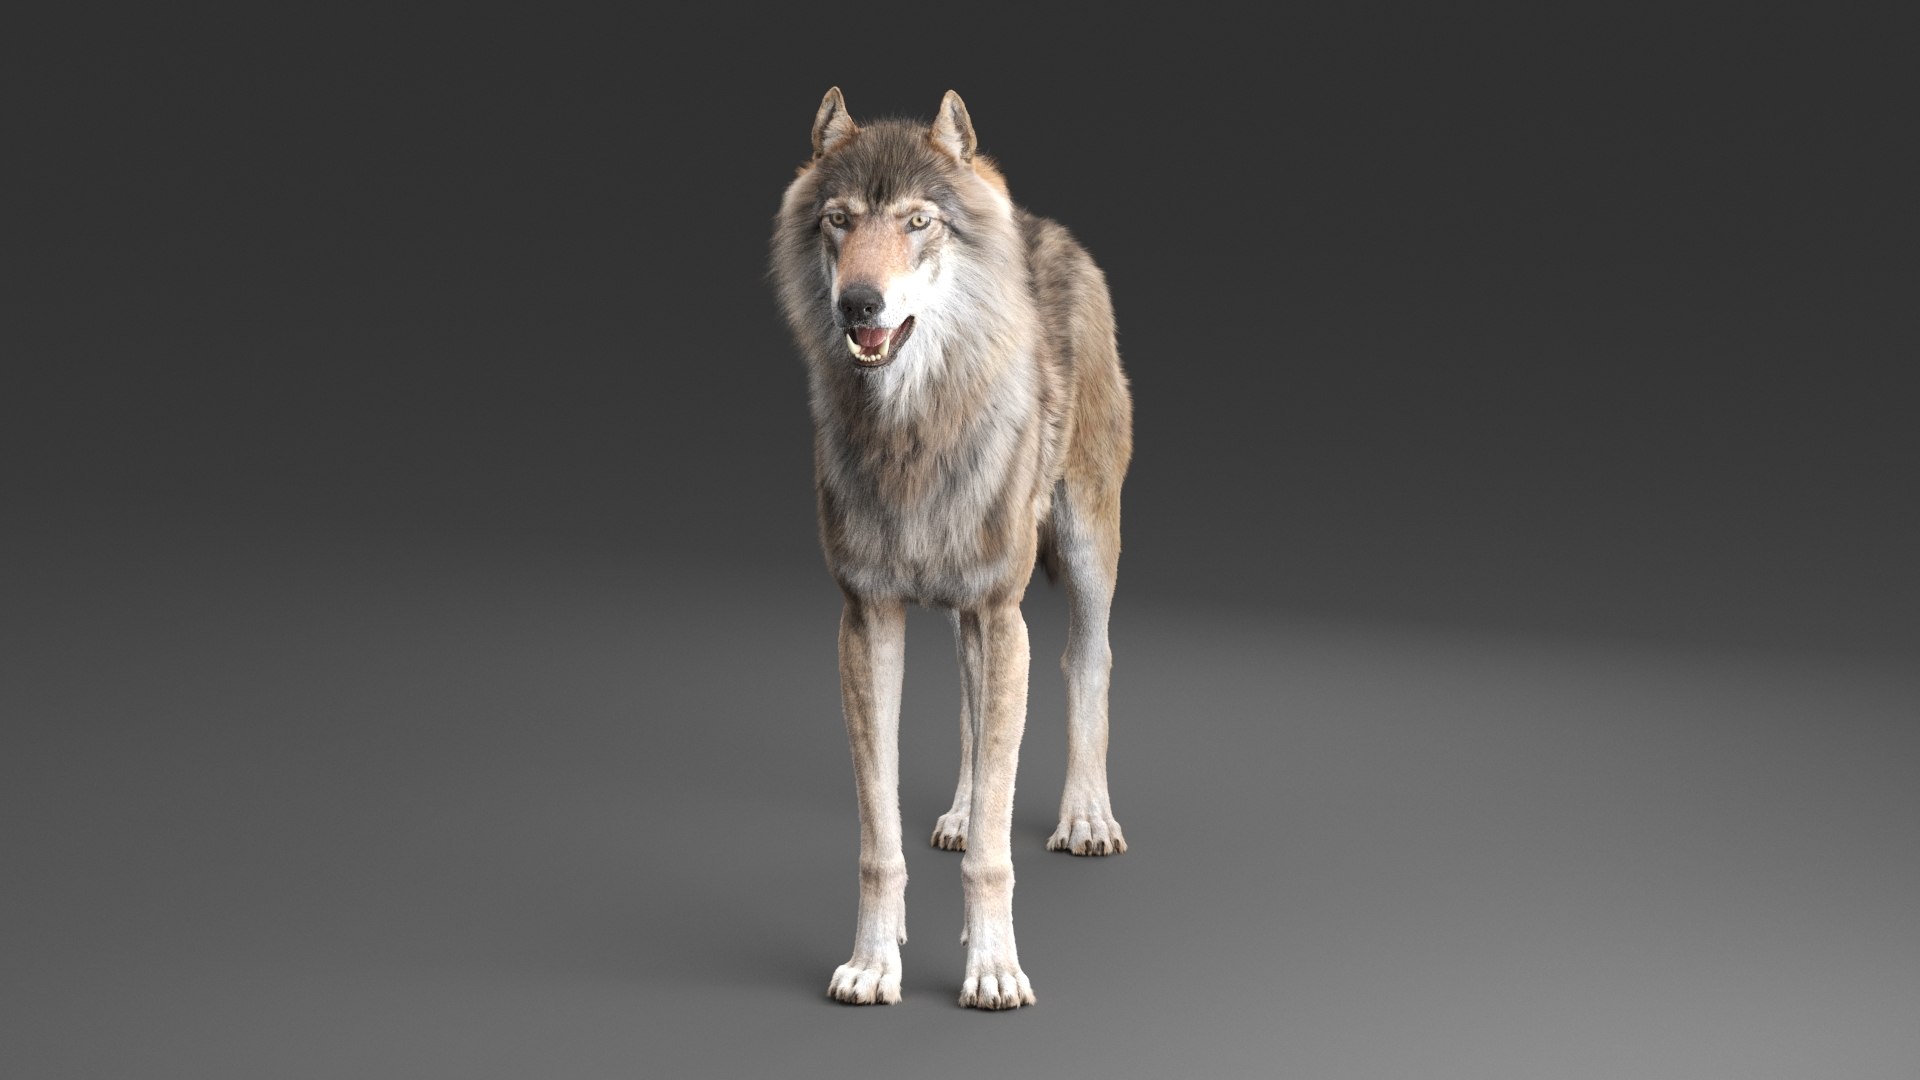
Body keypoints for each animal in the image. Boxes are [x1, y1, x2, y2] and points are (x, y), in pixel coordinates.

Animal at [770, 87, 1133, 1010]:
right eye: (839, 219)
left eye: (917, 221)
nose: (859, 304)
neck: (915, 432)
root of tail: (1038, 223)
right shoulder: (868, 616)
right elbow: (880, 833)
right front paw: (873, 961)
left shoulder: (1004, 611)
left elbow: (997, 856)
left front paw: (994, 968)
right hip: (968, 614)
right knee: (972, 717)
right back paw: (966, 813)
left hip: (1082, 550)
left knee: (1089, 663)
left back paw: (1086, 817)